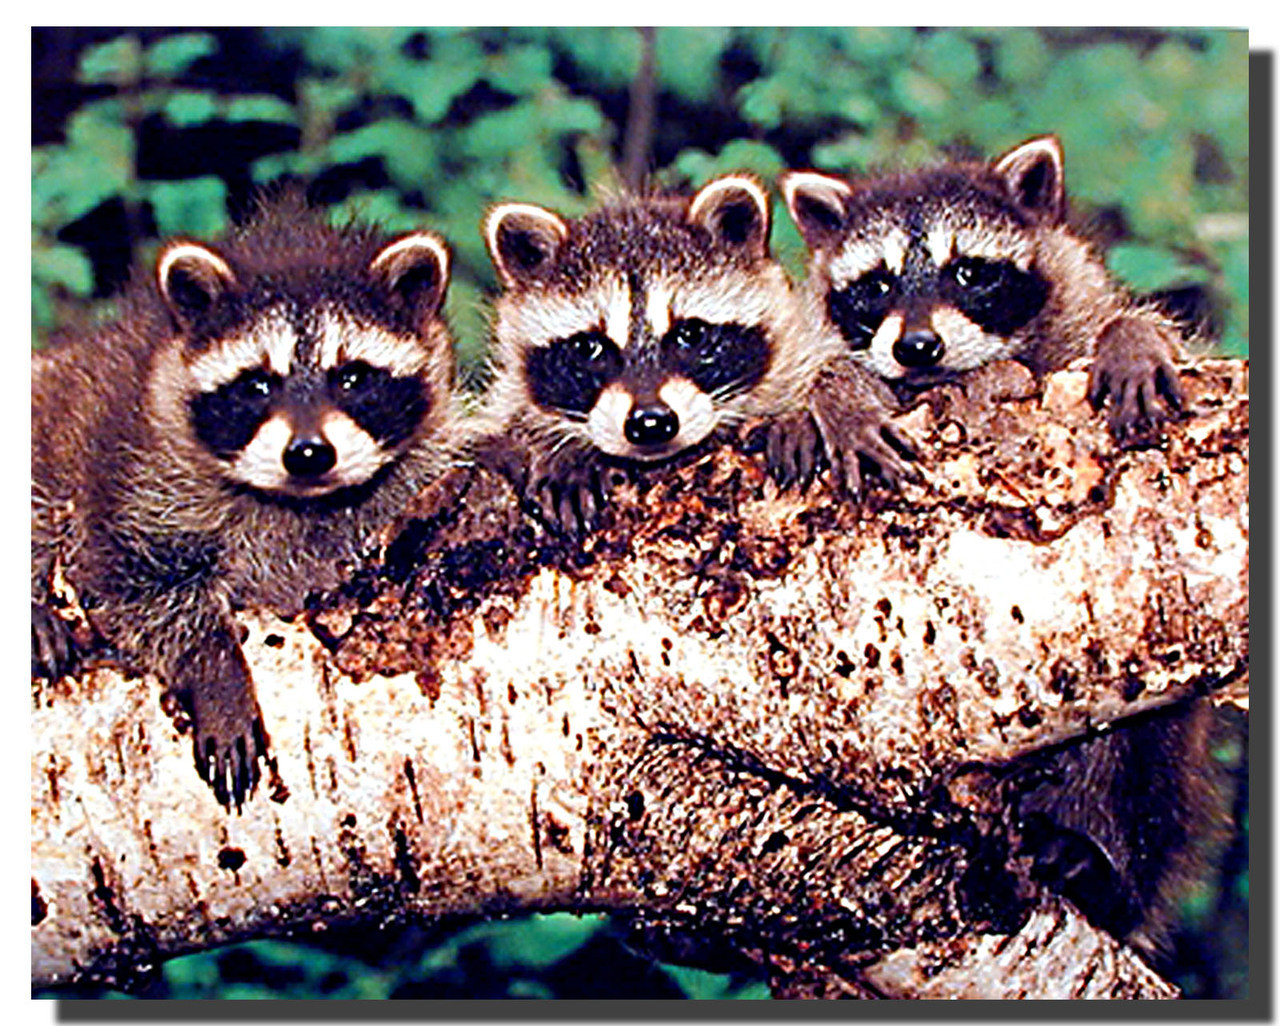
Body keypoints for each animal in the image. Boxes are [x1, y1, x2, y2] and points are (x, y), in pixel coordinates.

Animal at [31, 195, 459, 808]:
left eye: (352, 377)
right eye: (257, 385)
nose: (308, 454)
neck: (301, 499)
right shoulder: (133, 481)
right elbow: (141, 586)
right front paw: (217, 671)